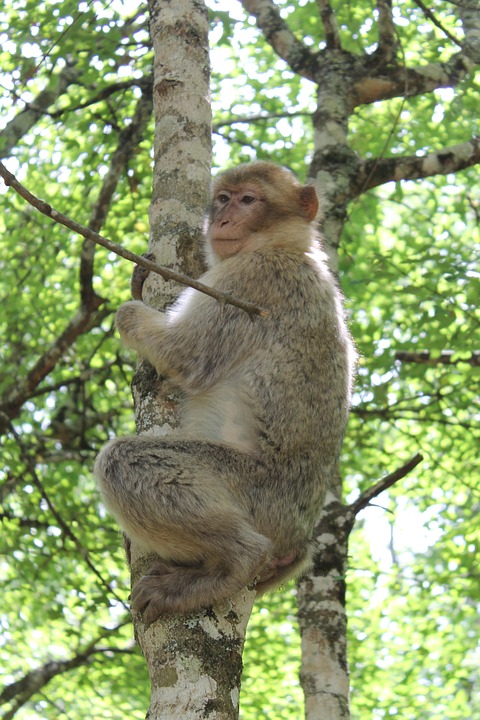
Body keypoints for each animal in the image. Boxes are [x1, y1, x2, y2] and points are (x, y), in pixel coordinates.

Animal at [94, 161, 355, 623]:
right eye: (222, 198)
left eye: (248, 200)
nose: (223, 220)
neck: (290, 248)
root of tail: (298, 537)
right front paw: (140, 278)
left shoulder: (249, 280)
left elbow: (186, 356)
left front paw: (130, 308)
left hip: (255, 492)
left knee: (124, 461)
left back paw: (233, 564)